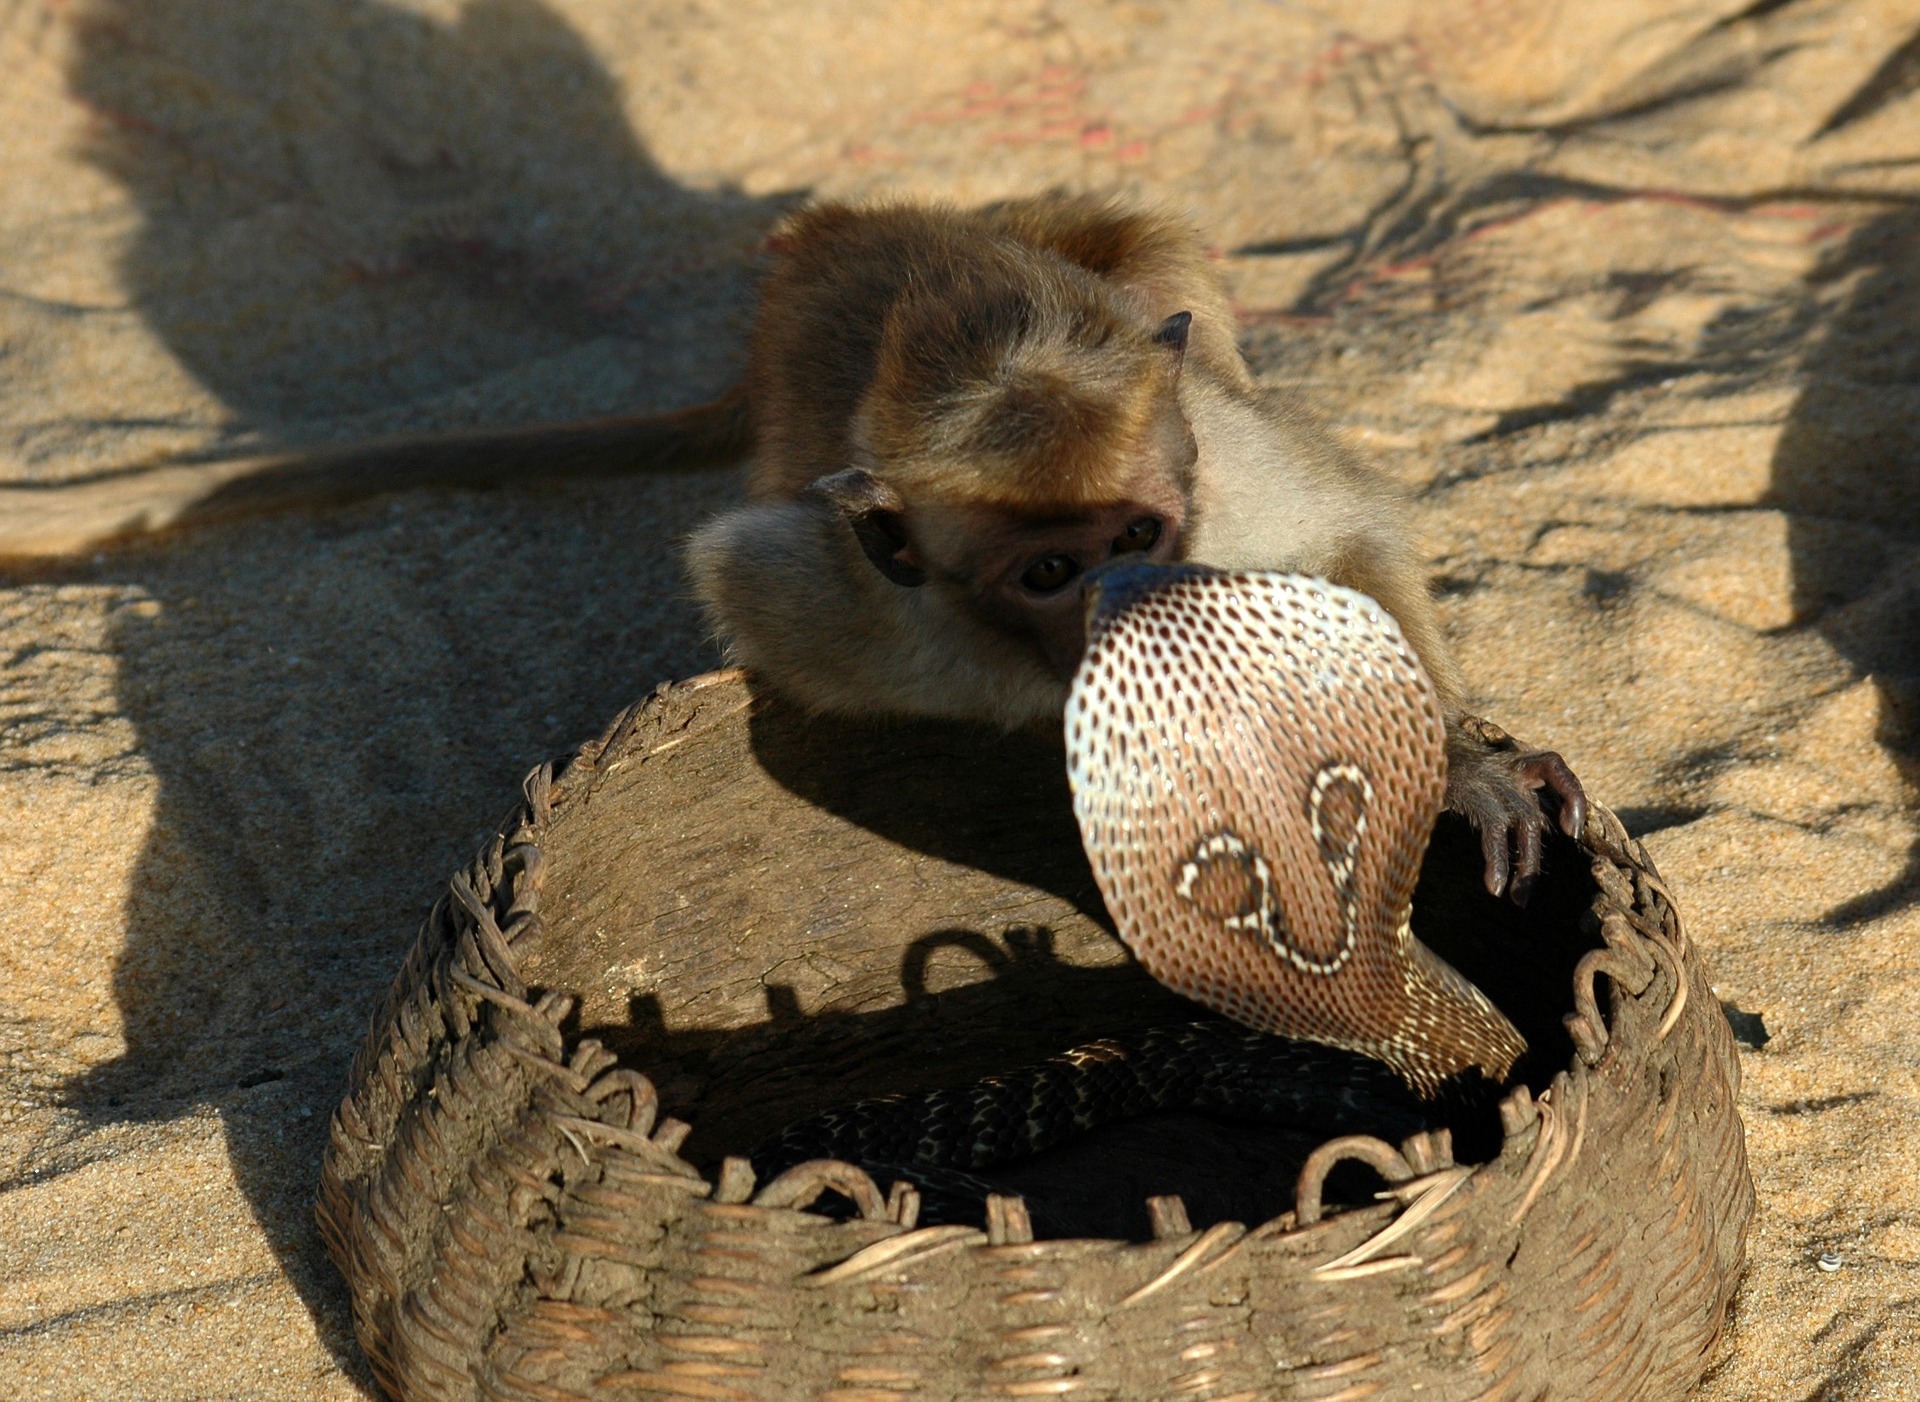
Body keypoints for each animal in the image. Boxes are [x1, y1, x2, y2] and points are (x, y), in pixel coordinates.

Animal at [0, 193, 1581, 898]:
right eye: (1048, 572)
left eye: (1136, 535)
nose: (1124, 611)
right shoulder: (854, 599)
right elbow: (753, 587)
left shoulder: (1222, 483)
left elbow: (1351, 525)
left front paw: (1461, 767)